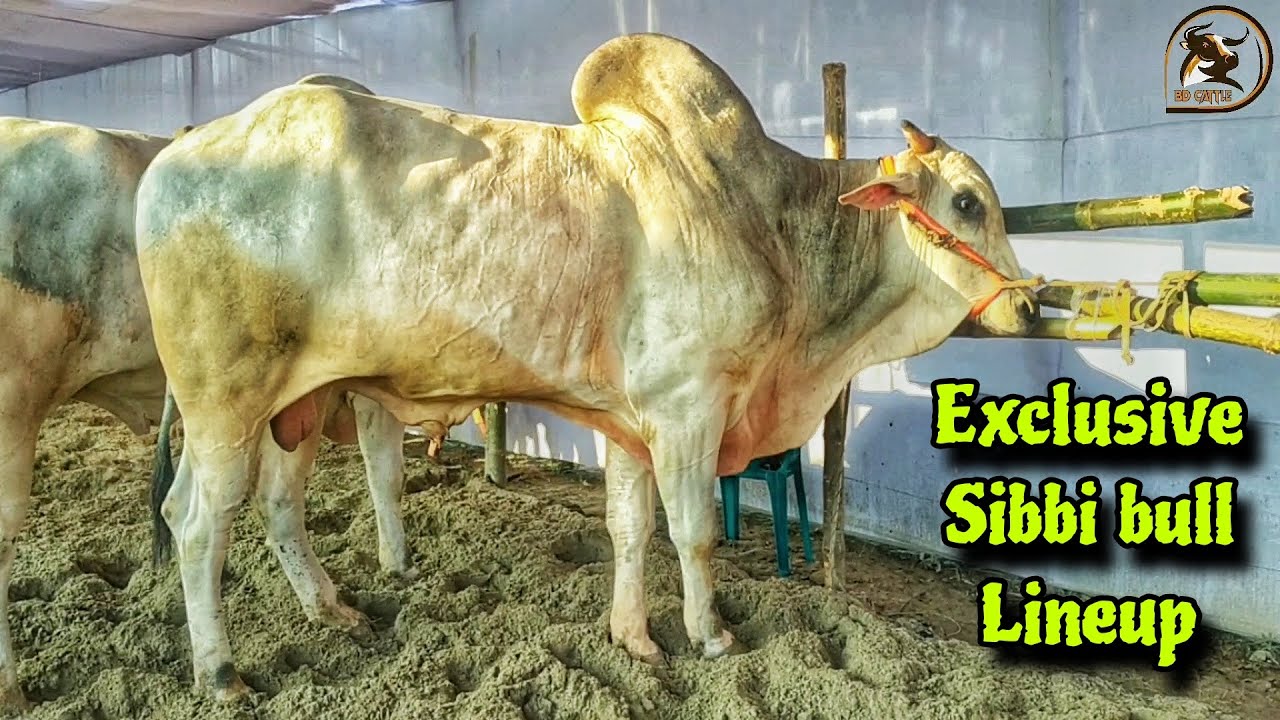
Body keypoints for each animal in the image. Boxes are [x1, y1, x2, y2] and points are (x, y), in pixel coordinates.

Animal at [134, 32, 1039, 701]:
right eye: (966, 203)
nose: (1029, 305)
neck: (768, 225)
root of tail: (172, 159)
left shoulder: (632, 423)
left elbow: (630, 530)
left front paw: (634, 639)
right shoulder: (687, 409)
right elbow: (693, 533)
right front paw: (711, 636)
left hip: (298, 407)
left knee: (276, 508)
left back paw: (333, 611)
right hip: (223, 404)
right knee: (198, 523)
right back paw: (220, 672)